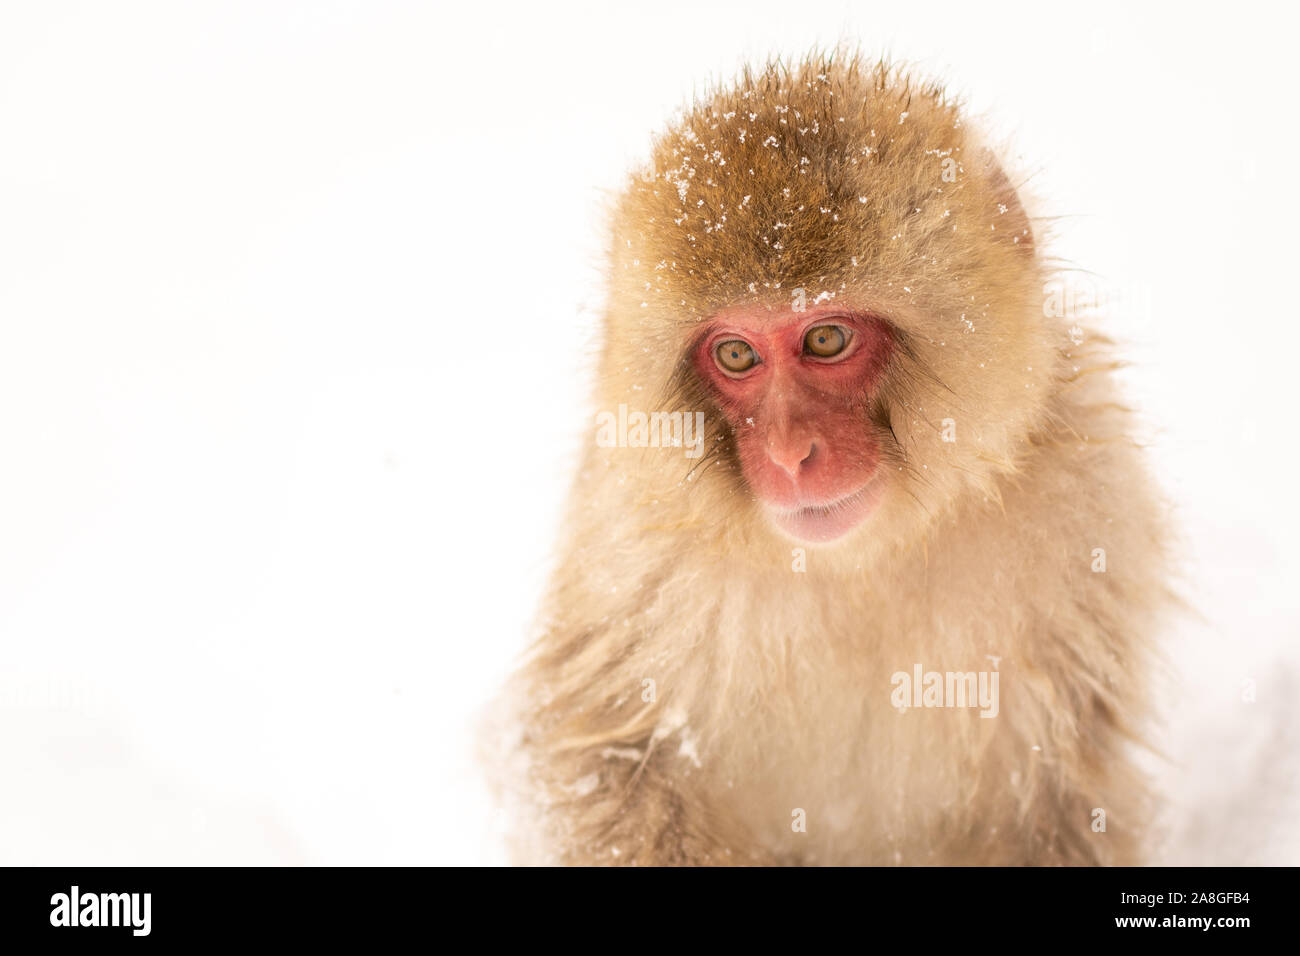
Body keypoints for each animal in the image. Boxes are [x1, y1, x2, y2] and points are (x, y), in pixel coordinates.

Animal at [490, 51, 1172, 866]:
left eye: (826, 339)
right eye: (736, 355)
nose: (789, 454)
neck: (860, 564)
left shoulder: (1084, 513)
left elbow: (1052, 799)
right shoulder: (627, 560)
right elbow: (611, 767)